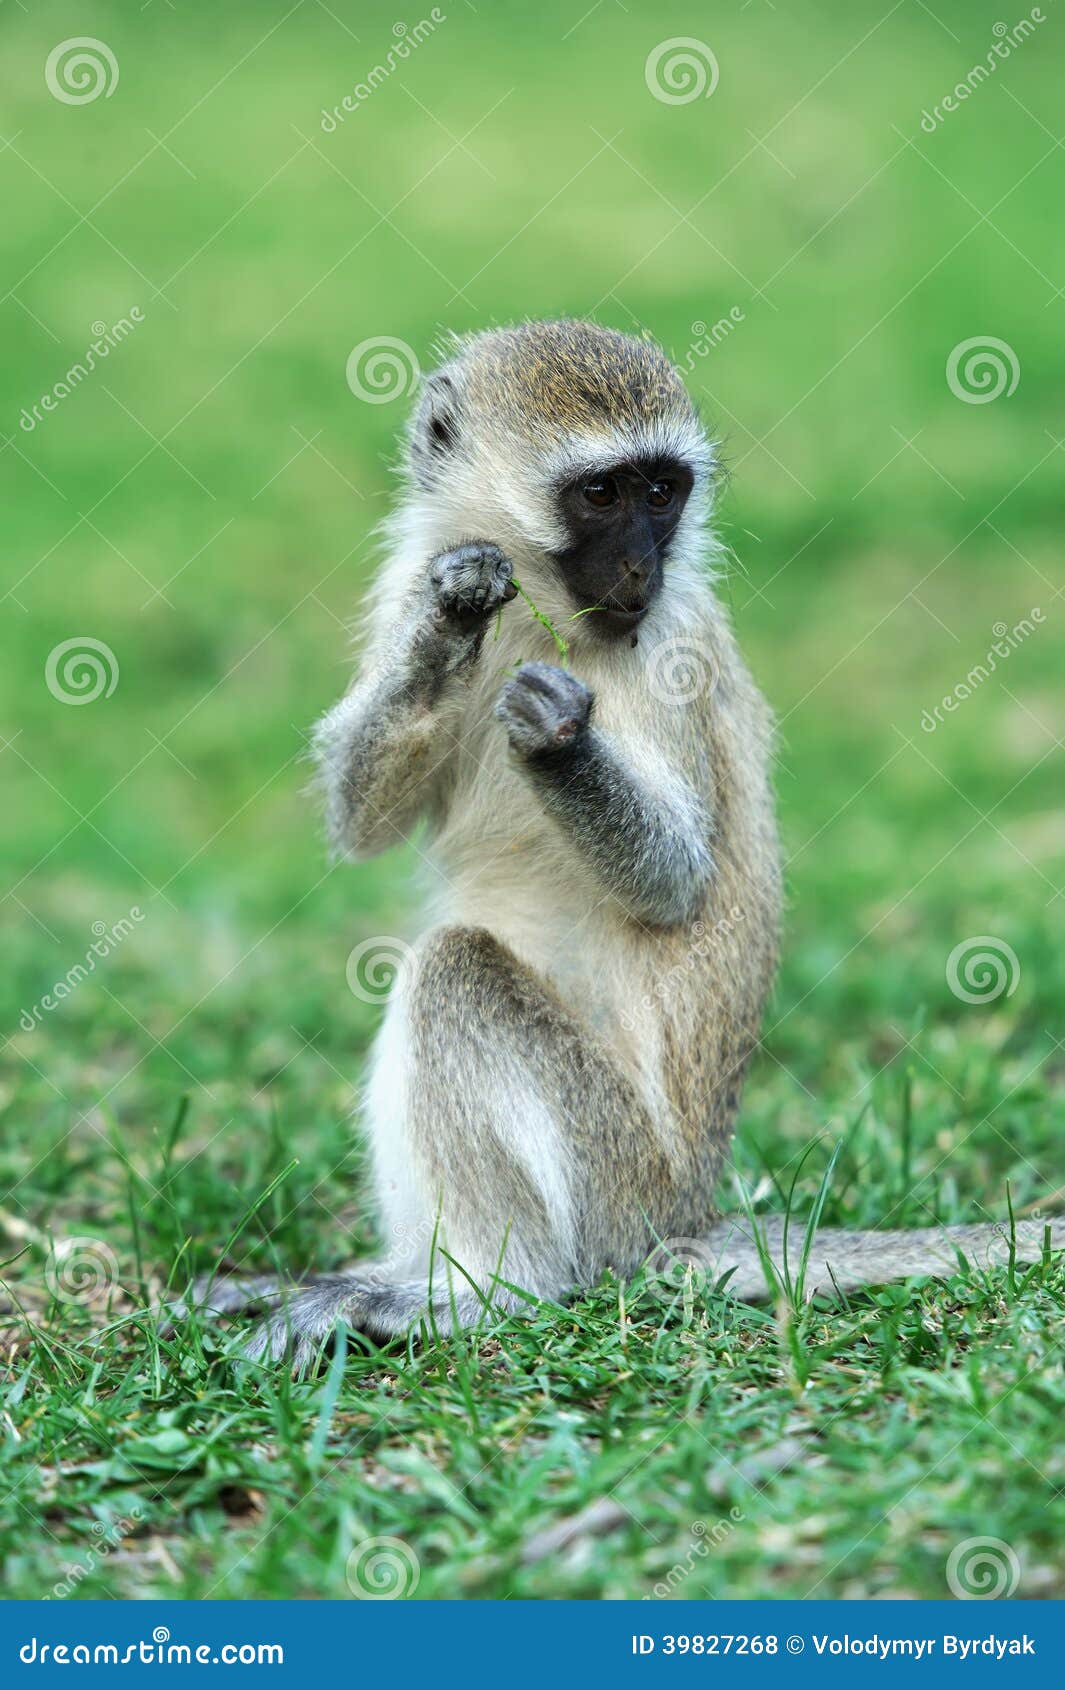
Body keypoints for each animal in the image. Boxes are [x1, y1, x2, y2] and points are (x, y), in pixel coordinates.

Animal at [190, 319, 1062, 1367]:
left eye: (662, 492)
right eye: (602, 494)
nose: (643, 568)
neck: (548, 618)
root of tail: (680, 1216)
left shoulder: (672, 644)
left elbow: (675, 881)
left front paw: (558, 737)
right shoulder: (410, 575)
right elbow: (364, 819)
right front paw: (452, 619)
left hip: (612, 1174)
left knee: (455, 974)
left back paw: (469, 1293)